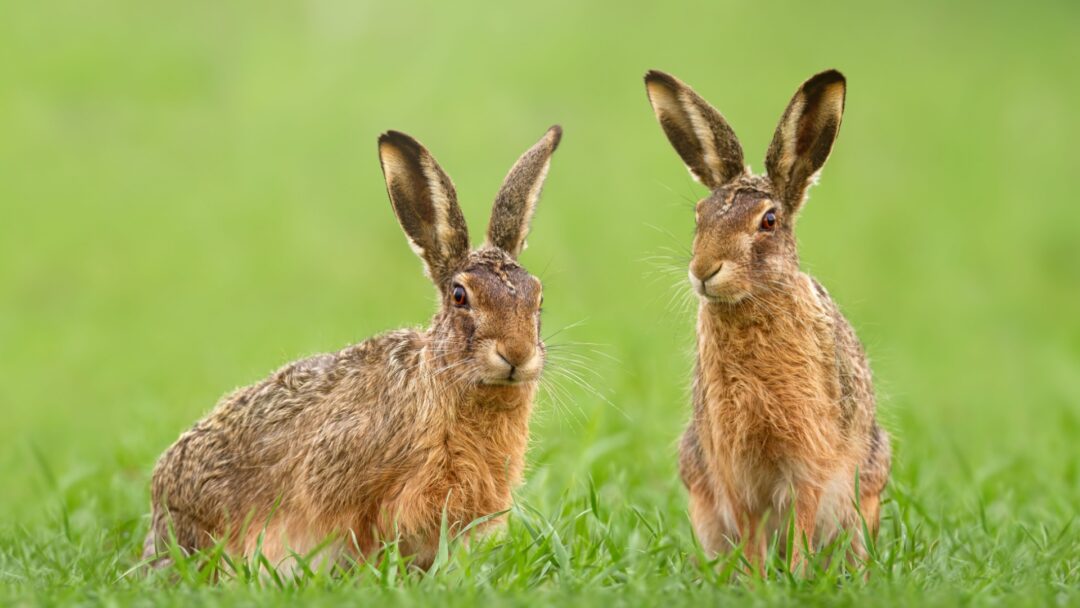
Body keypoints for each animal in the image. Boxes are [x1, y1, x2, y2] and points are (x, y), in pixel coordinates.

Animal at [643, 69, 890, 572]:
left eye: (769, 221)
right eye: (699, 216)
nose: (704, 270)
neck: (751, 304)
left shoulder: (809, 455)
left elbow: (803, 518)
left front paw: (793, 575)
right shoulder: (730, 462)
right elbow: (749, 525)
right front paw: (759, 579)